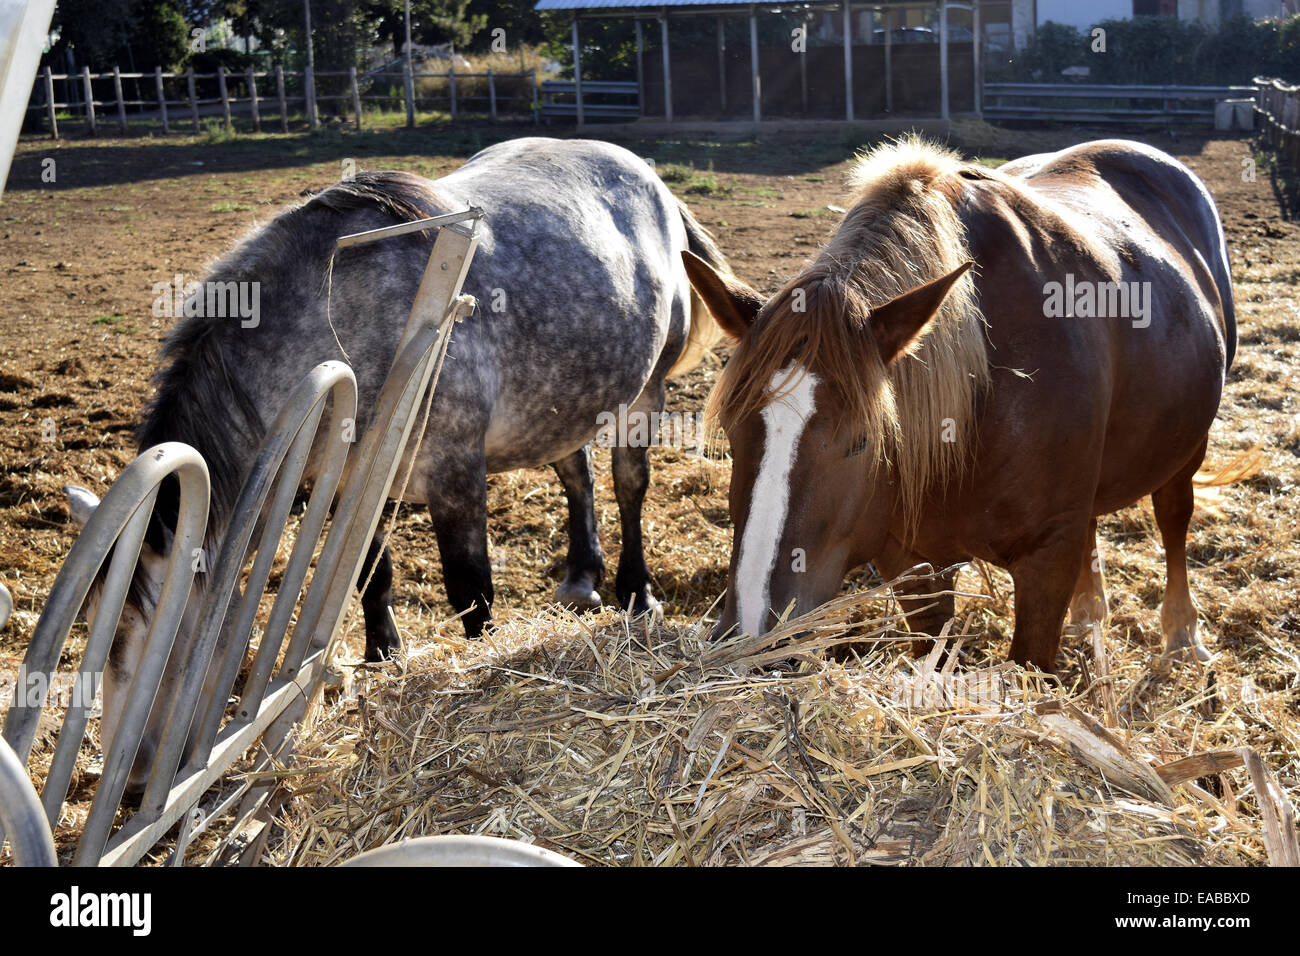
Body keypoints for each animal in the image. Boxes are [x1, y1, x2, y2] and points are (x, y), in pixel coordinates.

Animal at [65, 137, 730, 789]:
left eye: (165, 637)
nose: (131, 785)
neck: (352, 318)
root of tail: (654, 183)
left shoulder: (456, 473)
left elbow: (470, 589)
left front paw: (482, 667)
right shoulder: (359, 475)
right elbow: (371, 569)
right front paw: (385, 654)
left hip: (643, 397)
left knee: (629, 486)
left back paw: (637, 591)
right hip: (568, 400)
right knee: (577, 477)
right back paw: (581, 577)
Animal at [682, 136, 1234, 672]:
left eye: (862, 442)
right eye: (732, 434)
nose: (753, 639)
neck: (978, 407)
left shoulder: (1048, 559)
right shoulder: (914, 564)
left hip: (1188, 449)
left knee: (1174, 520)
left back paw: (1183, 637)